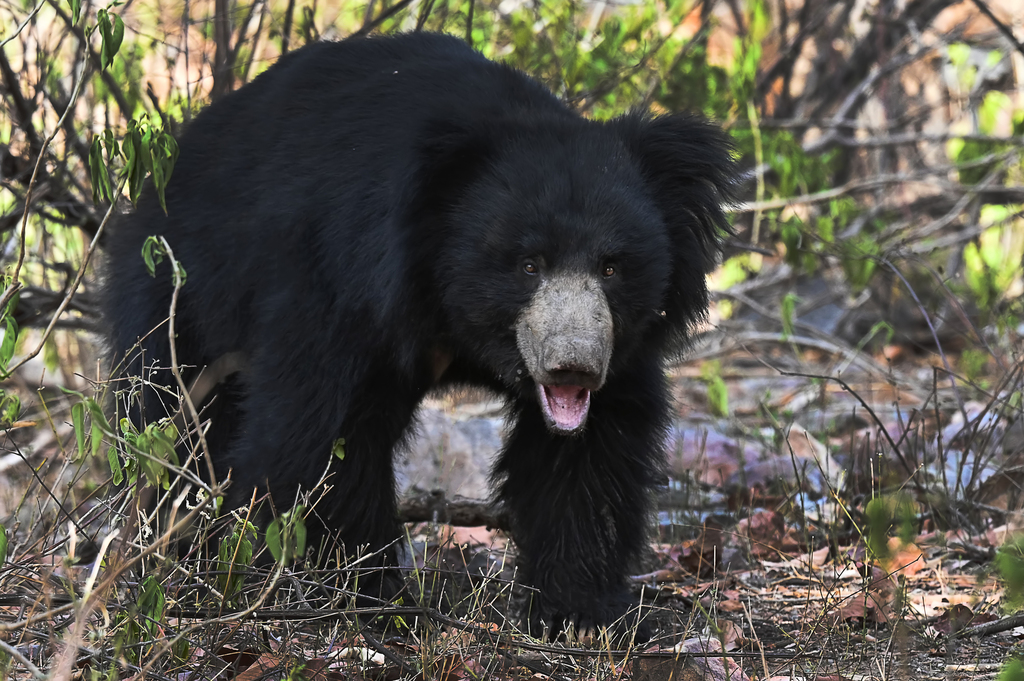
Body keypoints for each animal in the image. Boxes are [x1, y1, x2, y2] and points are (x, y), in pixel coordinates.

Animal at [101, 31, 736, 639]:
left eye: (611, 267)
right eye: (528, 264)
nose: (572, 367)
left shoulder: (619, 348)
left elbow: (590, 456)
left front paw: (578, 613)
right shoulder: (340, 277)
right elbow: (323, 432)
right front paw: (363, 598)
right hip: (180, 287)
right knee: (175, 415)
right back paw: (179, 553)